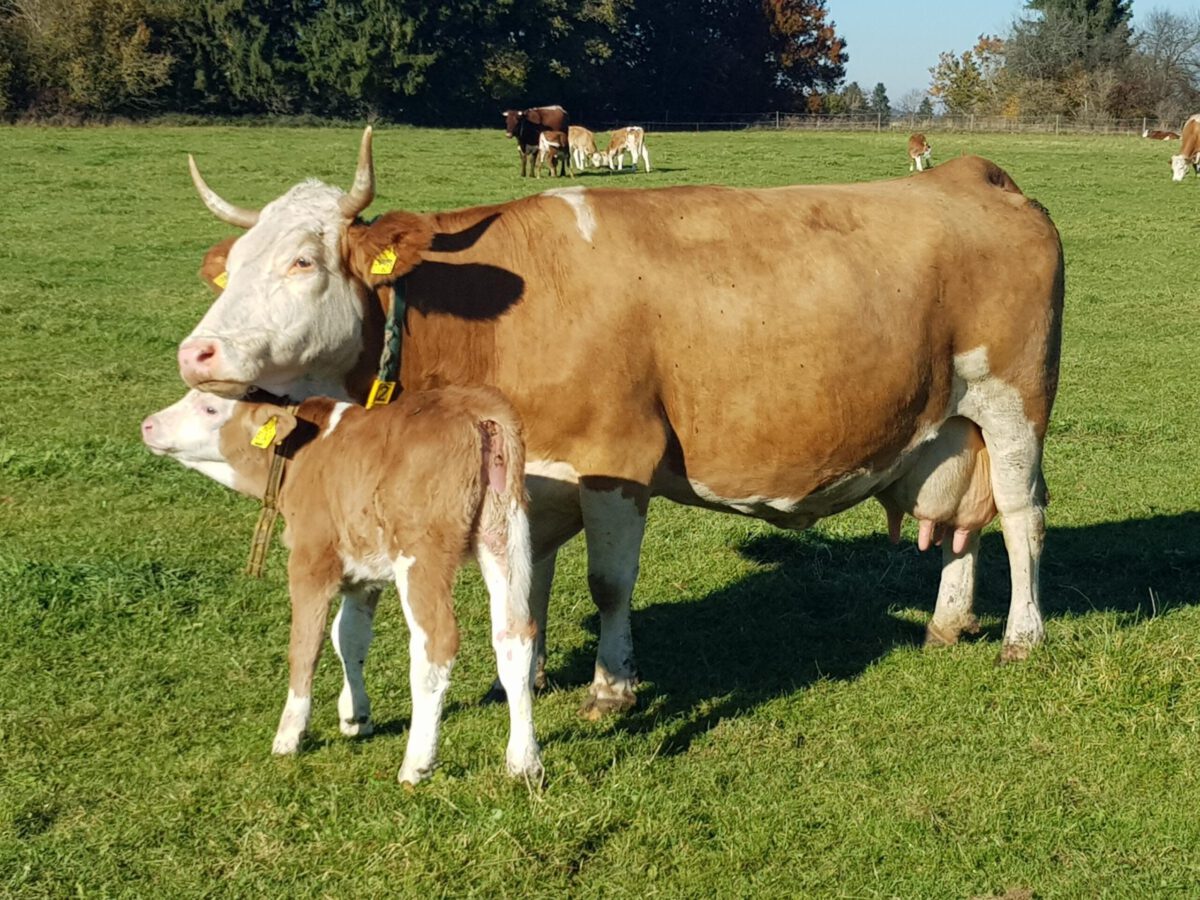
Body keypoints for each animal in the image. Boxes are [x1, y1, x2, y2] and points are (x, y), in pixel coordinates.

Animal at [141, 385, 543, 785]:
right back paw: (523, 760)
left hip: (420, 550)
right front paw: (355, 715)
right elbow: (348, 635)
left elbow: (305, 645)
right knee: (515, 635)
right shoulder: (363, 573)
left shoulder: (311, 560)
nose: (147, 424)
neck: (305, 453)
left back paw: (416, 763)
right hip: (504, 535)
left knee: (436, 642)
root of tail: (473, 406)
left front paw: (289, 735)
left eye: (210, 408)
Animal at [178, 127, 1064, 718]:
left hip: (1014, 405)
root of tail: (969, 172)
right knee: (964, 525)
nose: (195, 352)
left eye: (303, 261)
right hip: (954, 422)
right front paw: (529, 673)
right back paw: (948, 621)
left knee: (1023, 515)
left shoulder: (617, 460)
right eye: (234, 265)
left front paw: (612, 685)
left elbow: (608, 584)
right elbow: (527, 582)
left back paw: (1023, 634)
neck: (500, 307)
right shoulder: (531, 475)